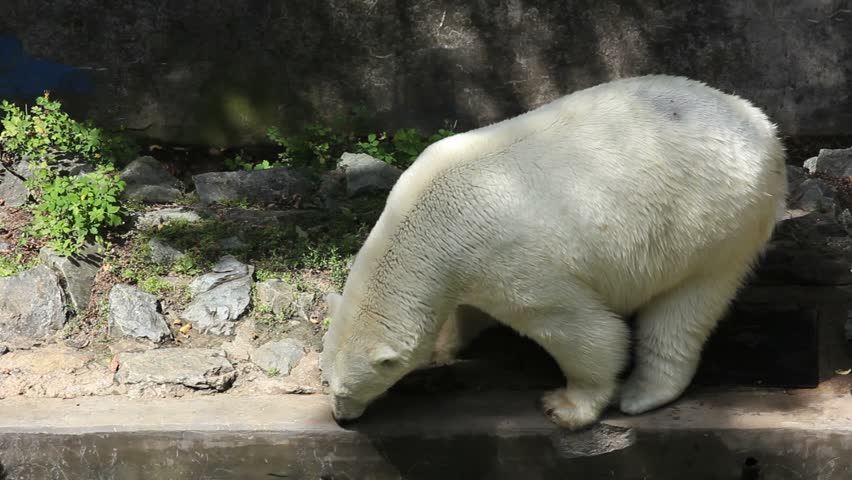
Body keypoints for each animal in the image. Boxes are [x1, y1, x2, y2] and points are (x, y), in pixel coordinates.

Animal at [320, 74, 787, 430]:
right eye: (327, 382)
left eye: (346, 389)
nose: (340, 418)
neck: (429, 221)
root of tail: (765, 128)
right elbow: (462, 309)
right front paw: (444, 345)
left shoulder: (509, 261)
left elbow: (582, 330)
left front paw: (565, 407)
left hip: (712, 220)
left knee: (686, 304)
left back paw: (641, 394)